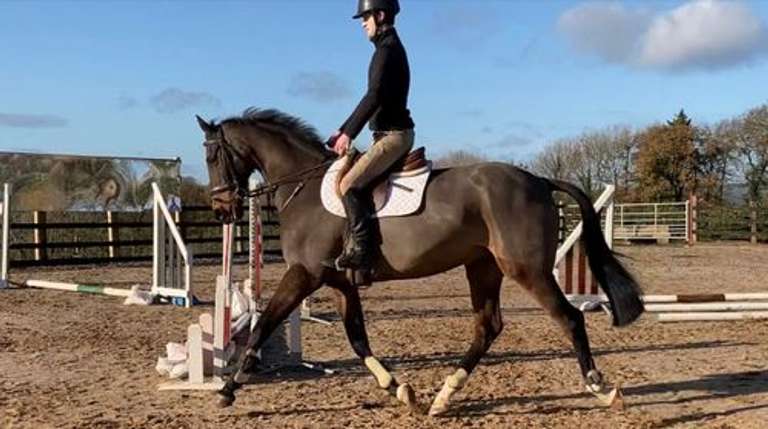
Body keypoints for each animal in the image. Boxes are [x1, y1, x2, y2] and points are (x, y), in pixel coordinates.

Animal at [197, 108, 644, 415]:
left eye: (212, 157)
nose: (221, 210)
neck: (303, 186)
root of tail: (538, 179)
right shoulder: (338, 282)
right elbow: (357, 339)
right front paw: (400, 390)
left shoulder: (304, 275)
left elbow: (264, 324)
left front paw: (228, 388)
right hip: (483, 267)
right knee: (488, 327)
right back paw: (444, 395)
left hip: (526, 269)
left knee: (569, 318)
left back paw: (601, 388)